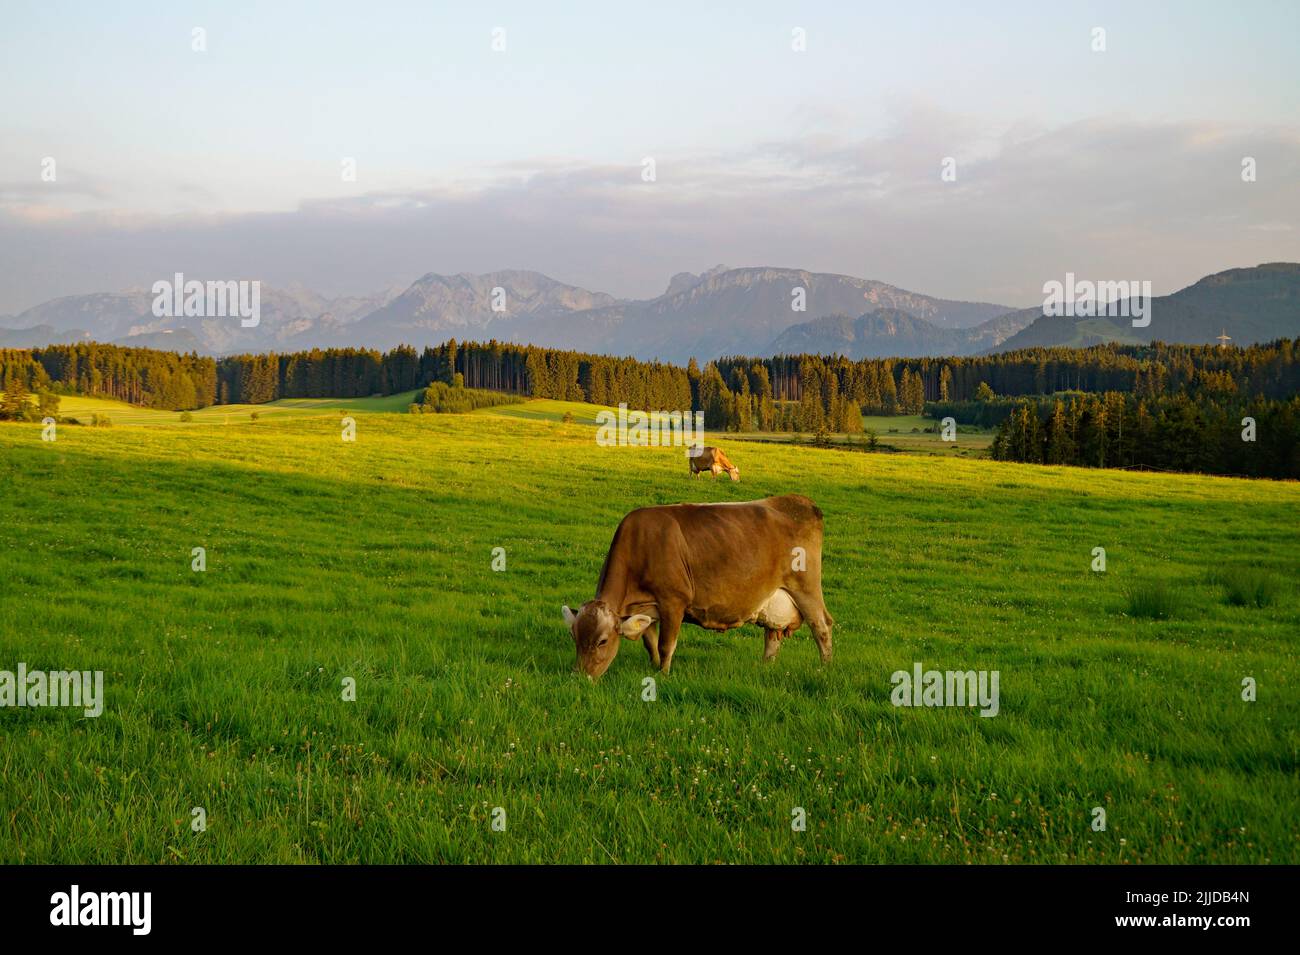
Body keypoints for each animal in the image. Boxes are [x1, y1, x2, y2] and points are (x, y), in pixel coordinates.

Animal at [562, 494, 833, 679]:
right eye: (573, 636)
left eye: (602, 641)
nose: (580, 676)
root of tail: (800, 501)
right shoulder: (647, 608)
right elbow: (651, 644)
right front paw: (653, 667)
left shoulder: (673, 602)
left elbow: (666, 644)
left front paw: (663, 675)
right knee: (773, 635)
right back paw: (765, 668)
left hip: (806, 588)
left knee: (821, 627)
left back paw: (825, 668)